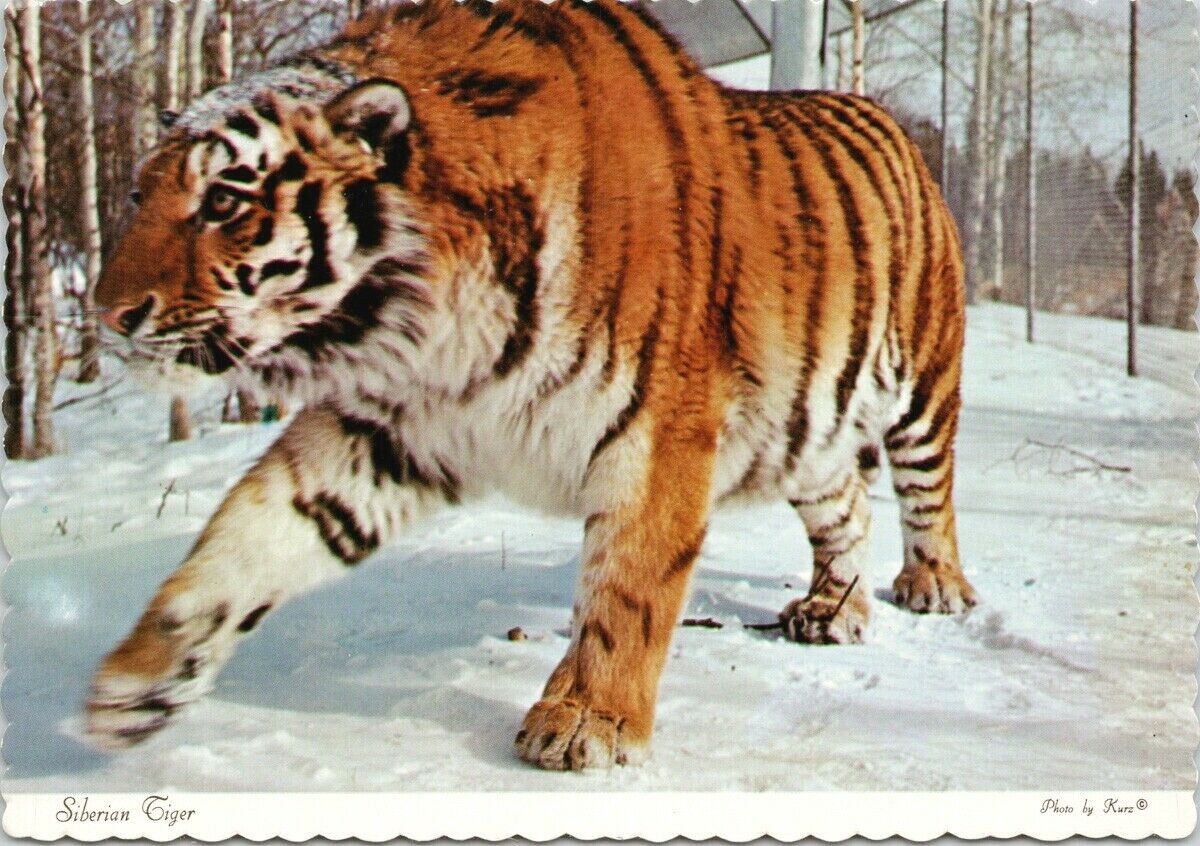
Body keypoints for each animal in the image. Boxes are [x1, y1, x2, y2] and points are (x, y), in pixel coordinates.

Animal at [88, 0, 977, 770]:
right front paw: (136, 680)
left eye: (223, 202)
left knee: (927, 492)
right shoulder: (392, 424)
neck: (422, 325)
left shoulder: (658, 428)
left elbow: (627, 588)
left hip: (923, 387)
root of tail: (888, 118)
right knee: (846, 504)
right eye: (135, 193)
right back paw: (834, 609)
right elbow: (247, 531)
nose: (109, 313)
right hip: (806, 432)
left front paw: (588, 722)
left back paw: (933, 586)